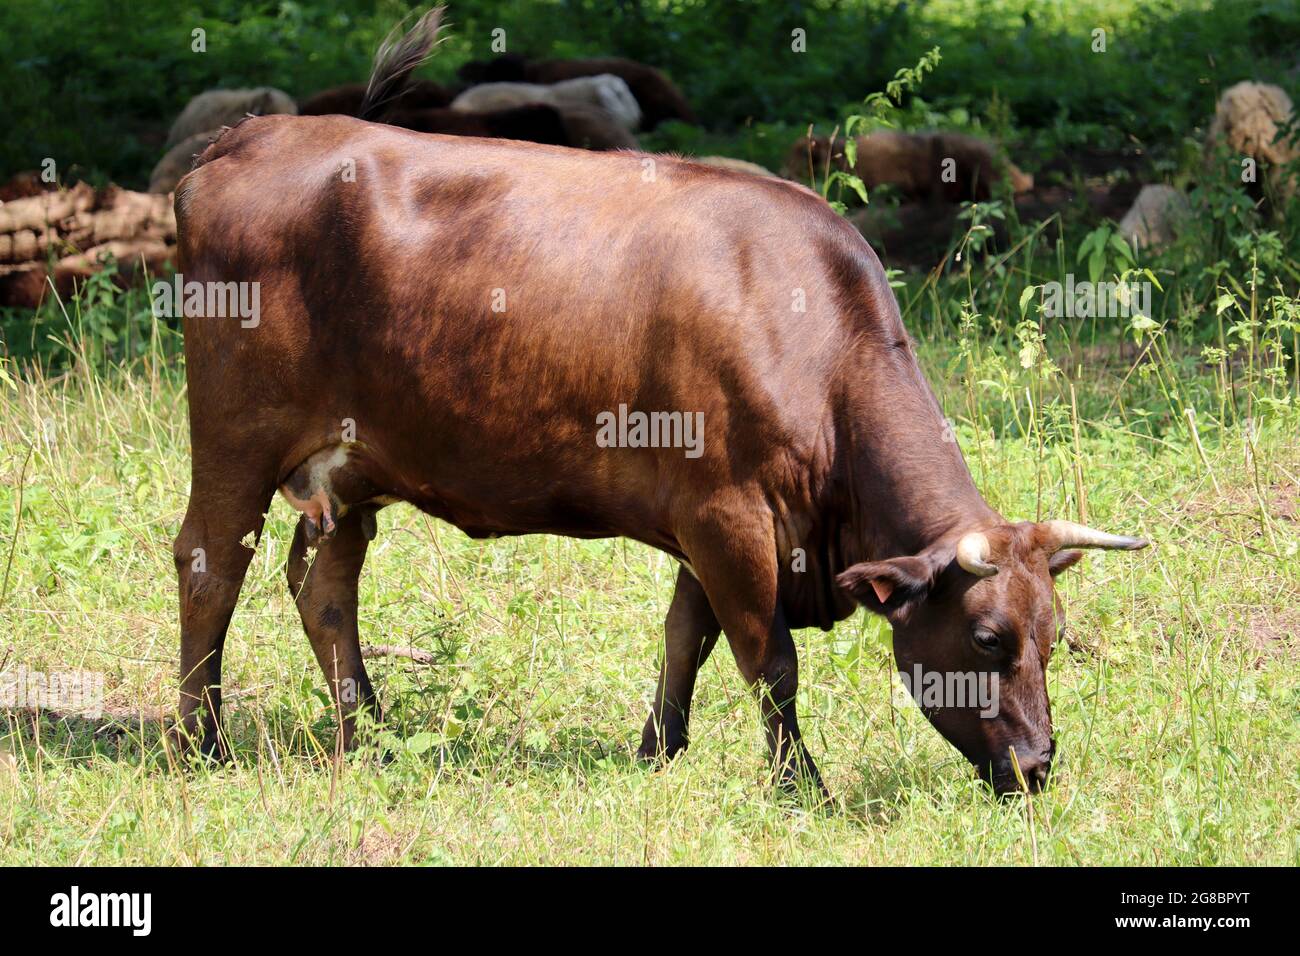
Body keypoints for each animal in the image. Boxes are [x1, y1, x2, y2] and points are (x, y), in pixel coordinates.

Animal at [170, 8, 1146, 797]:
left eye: (1053, 637)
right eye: (986, 639)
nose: (1038, 766)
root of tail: (246, 138)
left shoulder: (708, 519)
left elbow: (686, 638)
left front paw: (659, 752)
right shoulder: (728, 517)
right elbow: (769, 659)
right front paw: (802, 785)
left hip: (350, 463)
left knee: (324, 582)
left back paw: (369, 731)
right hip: (236, 434)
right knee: (208, 565)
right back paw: (199, 743)